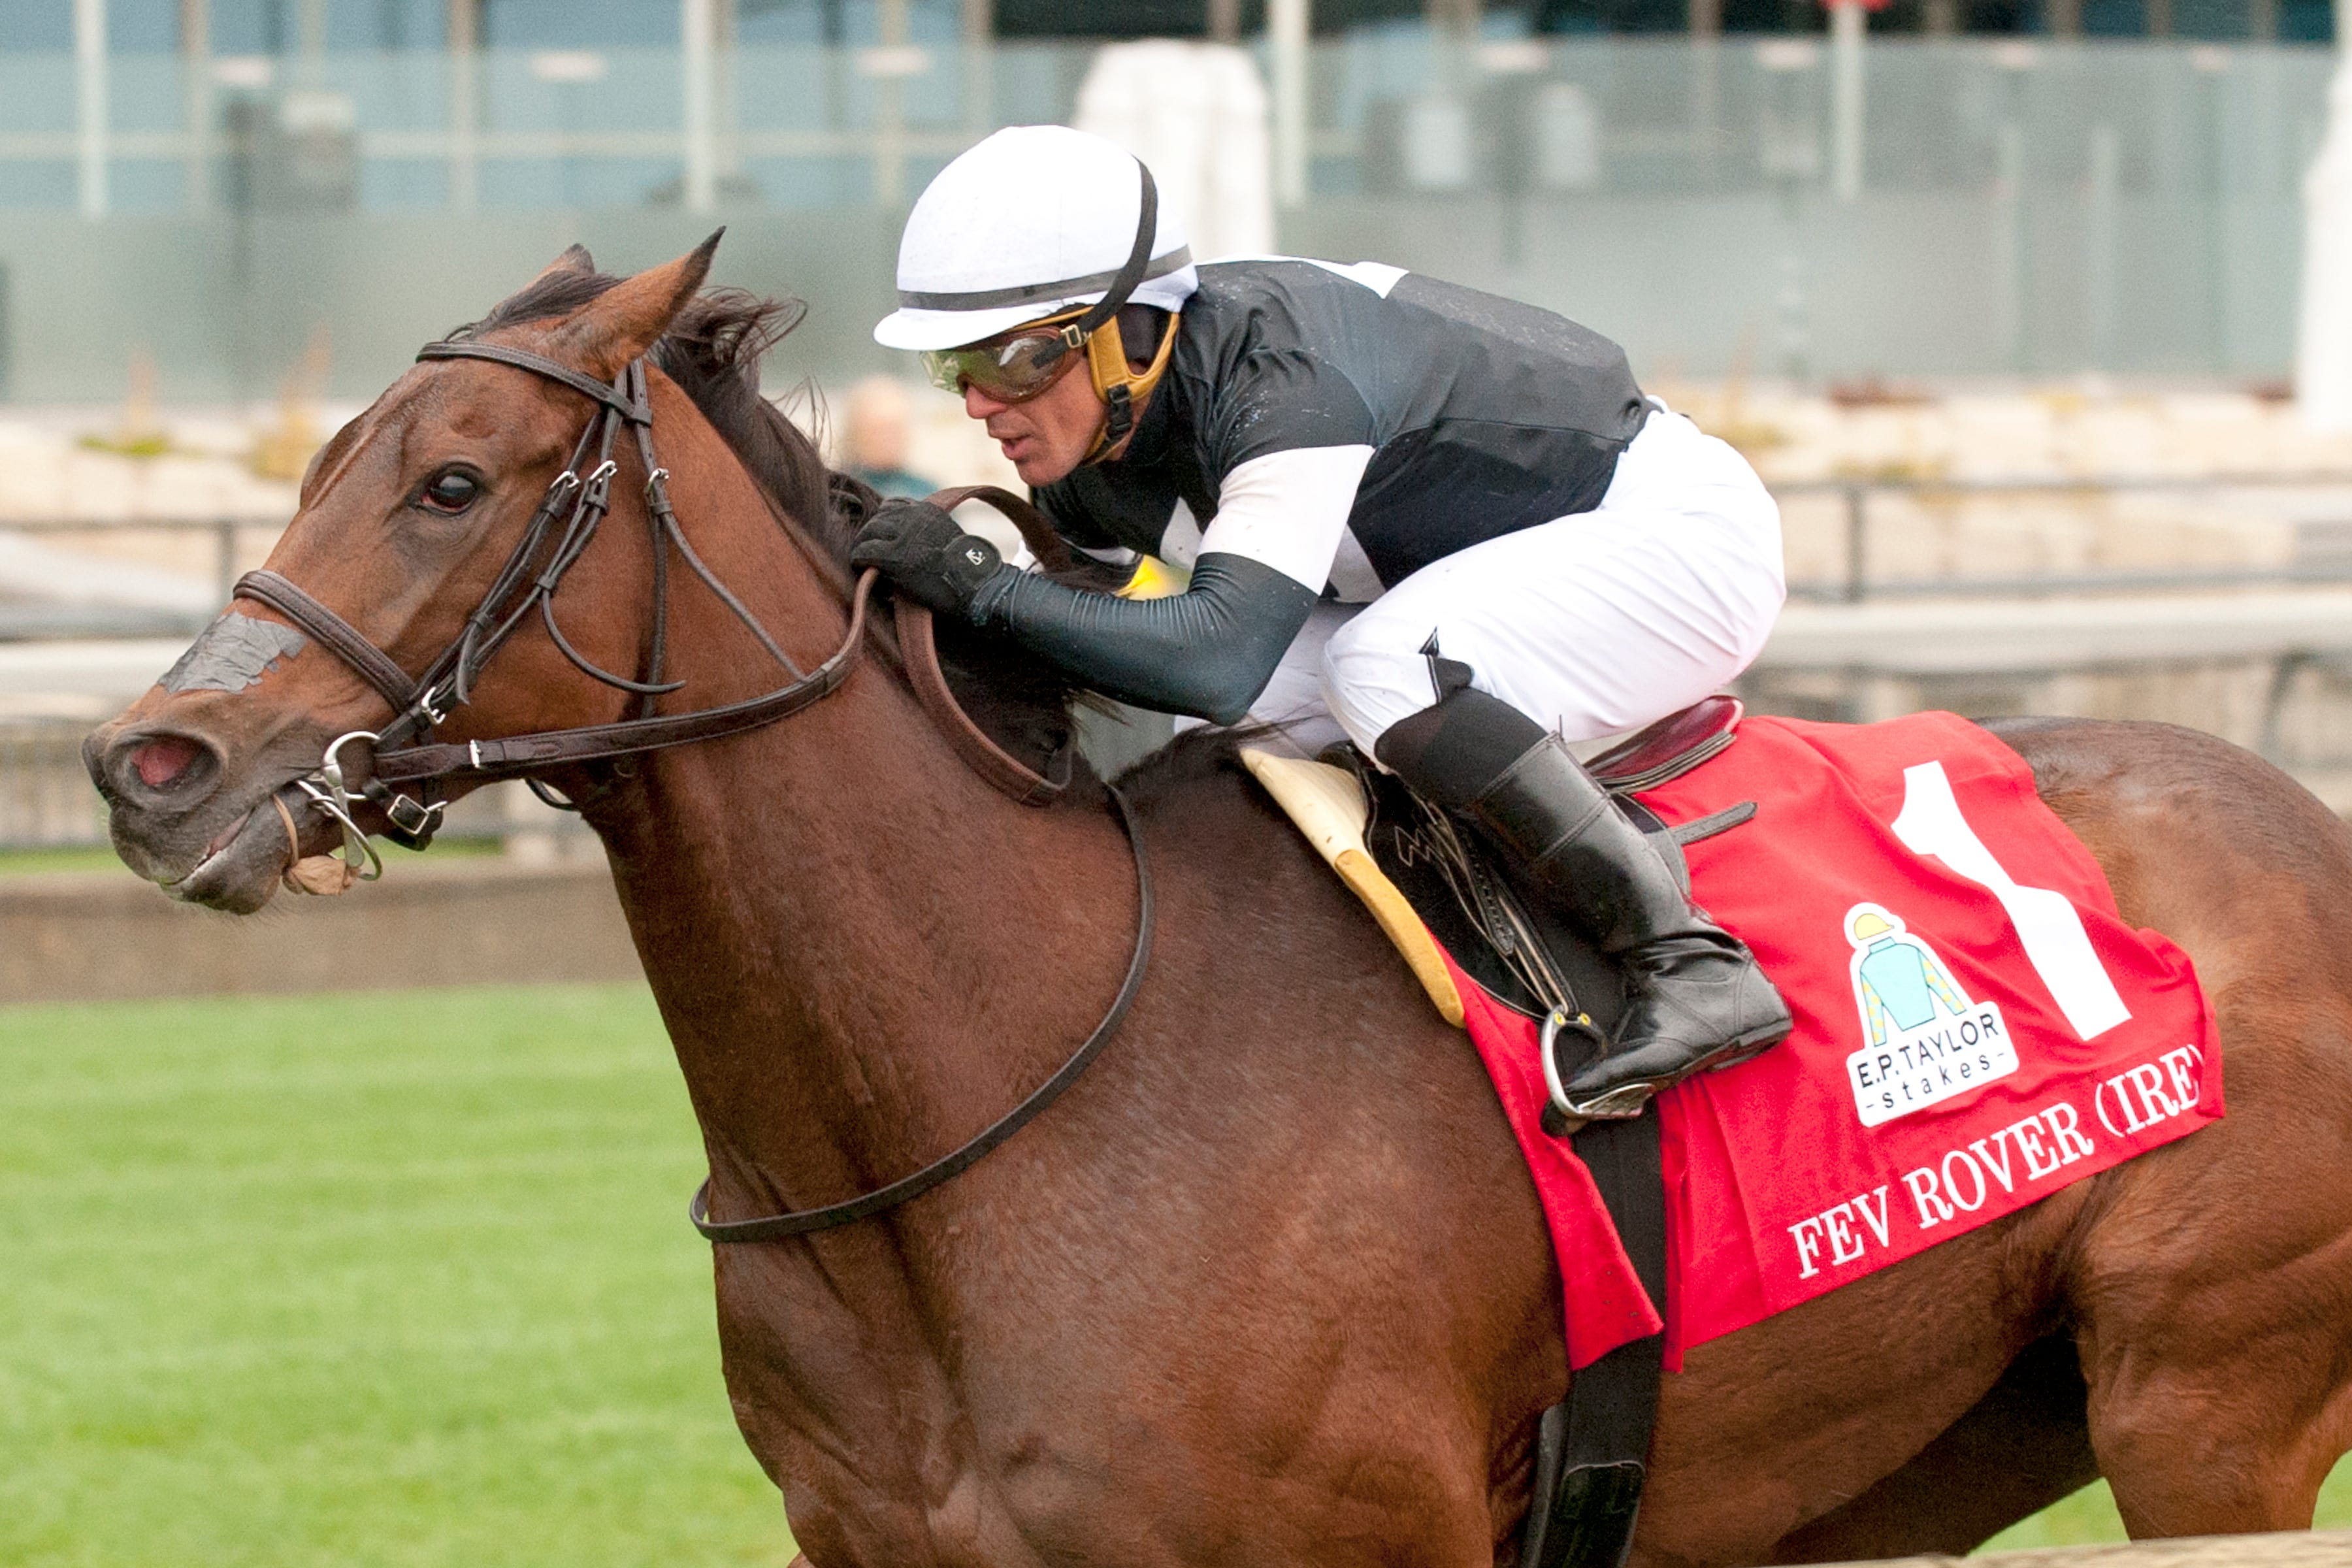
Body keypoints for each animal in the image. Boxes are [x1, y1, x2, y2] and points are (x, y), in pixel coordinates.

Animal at [85, 241, 2352, 1566]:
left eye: (452, 482)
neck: (979, 1094)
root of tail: (2297, 817)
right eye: (325, 462)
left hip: (2212, 1403)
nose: (149, 767)